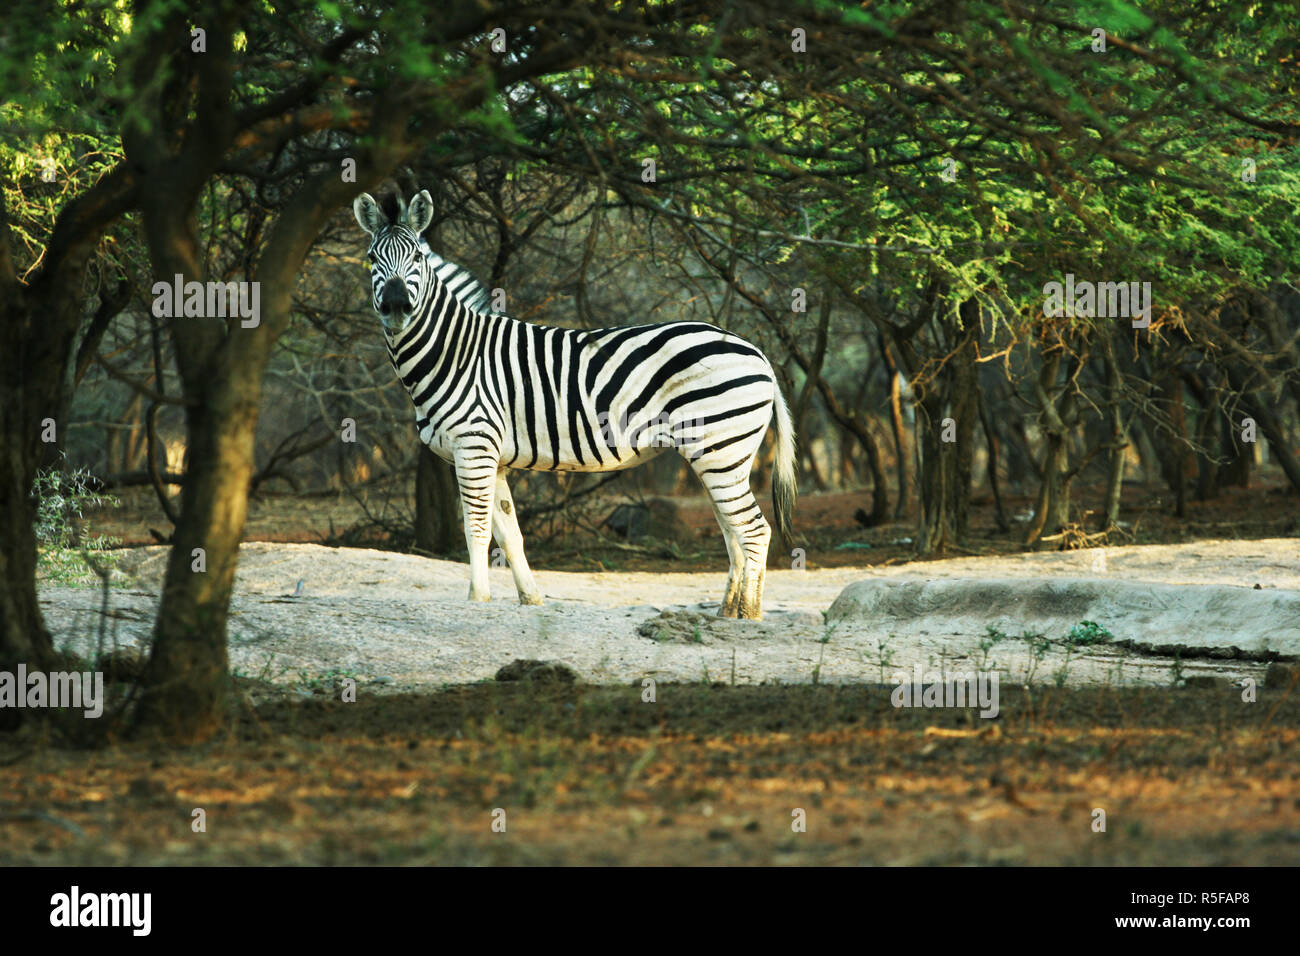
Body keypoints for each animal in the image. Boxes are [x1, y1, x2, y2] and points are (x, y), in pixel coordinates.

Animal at [353, 188, 796, 620]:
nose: (395, 306)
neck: (454, 352)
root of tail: (757, 353)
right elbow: (509, 533)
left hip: (721, 448)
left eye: (417, 257)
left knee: (754, 530)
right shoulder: (493, 457)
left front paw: (477, 600)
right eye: (372, 258)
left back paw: (749, 616)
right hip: (718, 455)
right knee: (734, 530)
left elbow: (475, 529)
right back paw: (726, 612)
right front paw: (531, 599)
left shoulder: (473, 446)